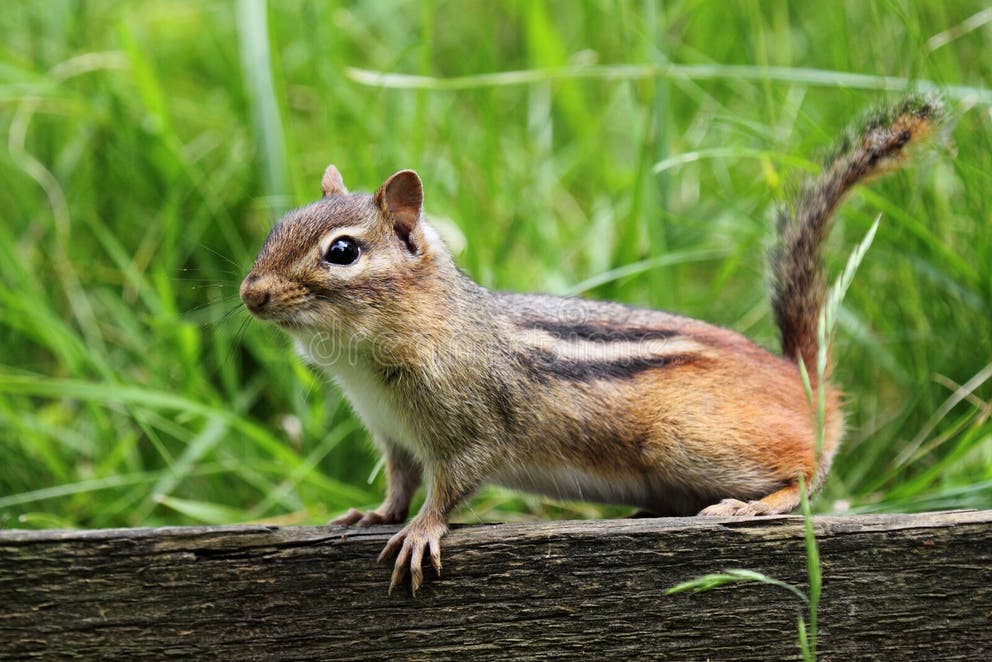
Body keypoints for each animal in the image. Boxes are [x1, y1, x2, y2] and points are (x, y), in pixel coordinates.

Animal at [240, 97, 941, 595]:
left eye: (342, 251)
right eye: (278, 227)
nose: (251, 293)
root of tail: (805, 380)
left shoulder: (473, 424)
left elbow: (453, 482)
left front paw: (422, 530)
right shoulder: (394, 437)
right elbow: (400, 481)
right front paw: (376, 514)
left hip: (684, 436)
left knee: (810, 465)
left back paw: (754, 503)